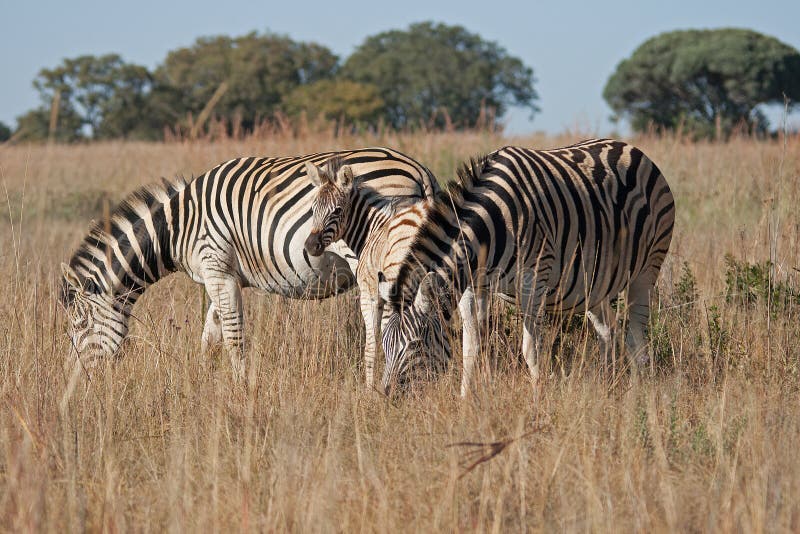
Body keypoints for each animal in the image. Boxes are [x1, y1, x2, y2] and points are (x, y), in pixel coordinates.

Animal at [59, 148, 437, 381]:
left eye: (80, 326)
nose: (81, 382)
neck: (178, 226)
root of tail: (419, 169)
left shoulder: (217, 269)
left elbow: (232, 337)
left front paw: (241, 388)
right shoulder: (220, 274)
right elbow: (210, 337)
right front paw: (203, 384)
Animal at [375, 139, 675, 395]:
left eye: (415, 344)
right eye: (385, 346)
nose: (388, 397)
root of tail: (630, 147)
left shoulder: (534, 281)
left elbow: (531, 351)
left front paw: (537, 401)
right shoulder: (474, 286)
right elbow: (471, 348)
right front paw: (466, 403)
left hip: (647, 269)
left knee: (636, 338)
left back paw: (637, 396)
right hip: (594, 284)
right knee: (610, 333)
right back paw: (607, 389)